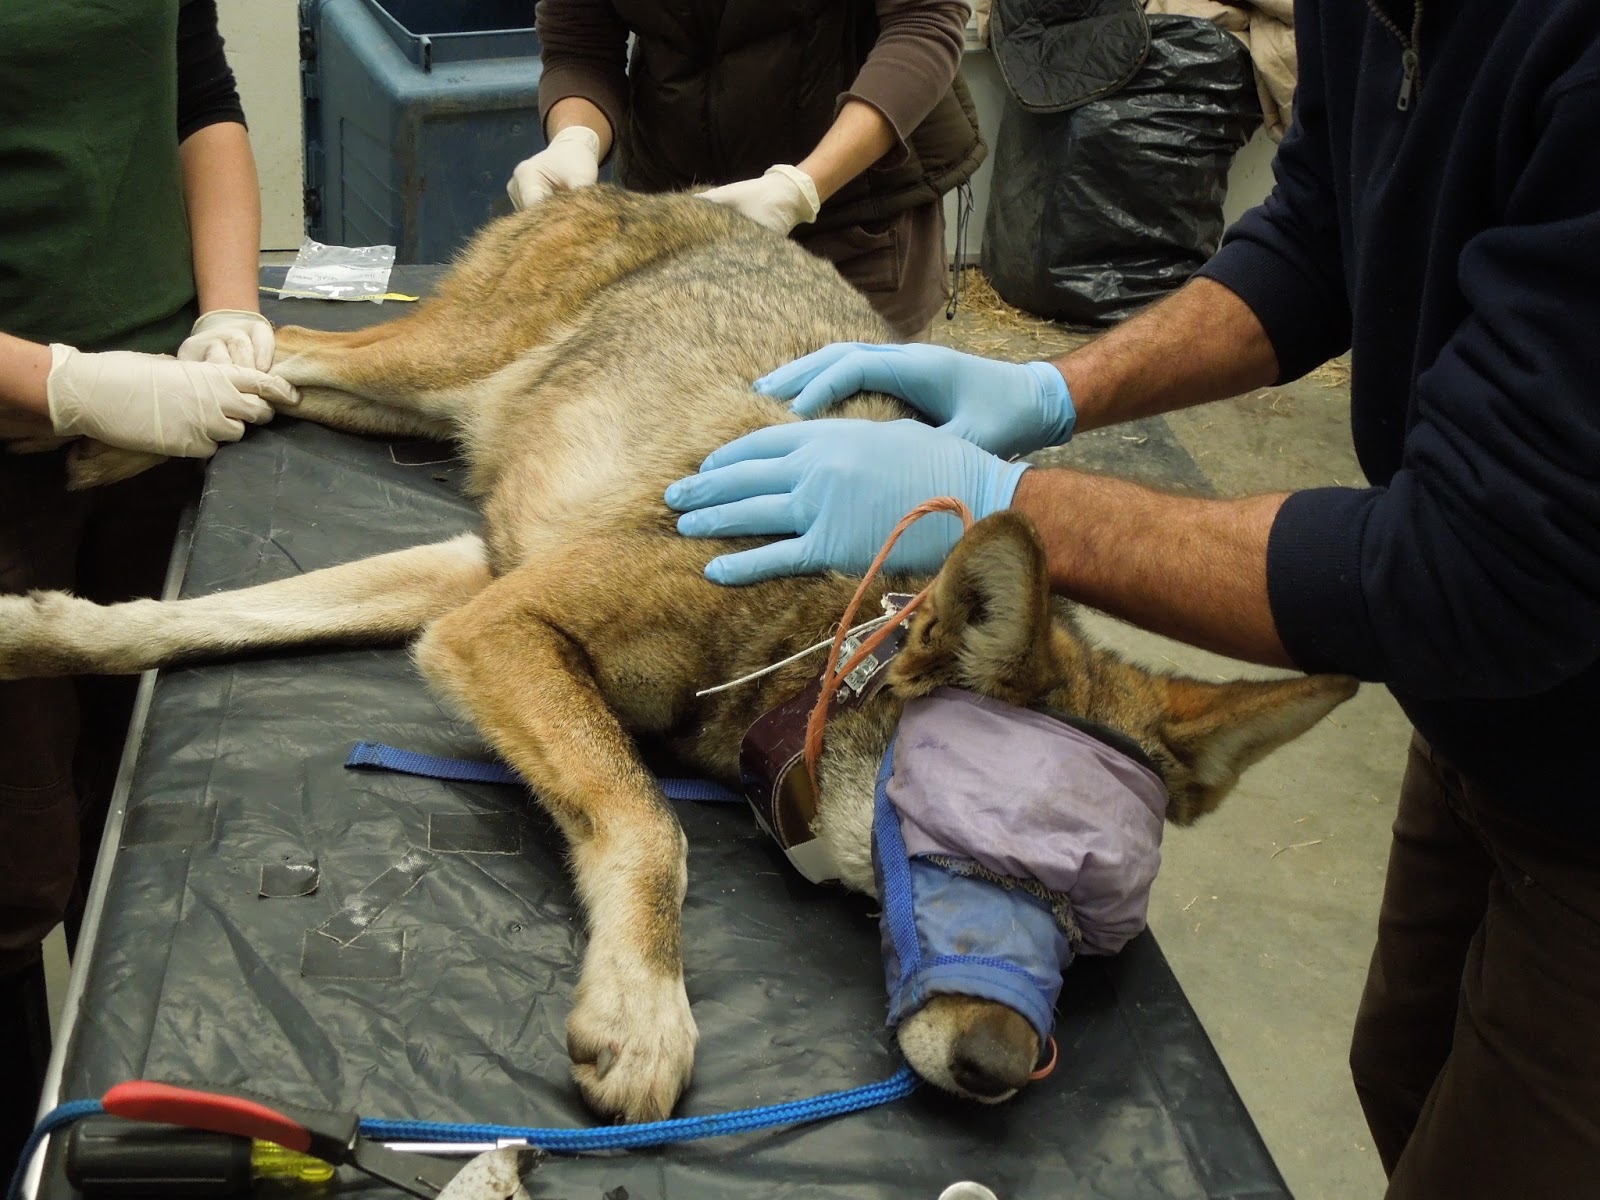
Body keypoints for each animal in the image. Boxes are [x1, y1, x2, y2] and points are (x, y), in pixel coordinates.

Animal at [0, 185, 1355, 1123]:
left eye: (1093, 929)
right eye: (960, 849)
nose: (995, 1071)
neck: (816, 642)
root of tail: (664, 189)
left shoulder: (469, 587)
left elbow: (209, 616)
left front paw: (42, 625)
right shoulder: (506, 625)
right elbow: (651, 824)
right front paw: (645, 1009)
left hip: (438, 420)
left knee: (278, 384)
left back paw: (137, 433)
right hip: (434, 365)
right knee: (268, 342)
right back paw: (120, 416)